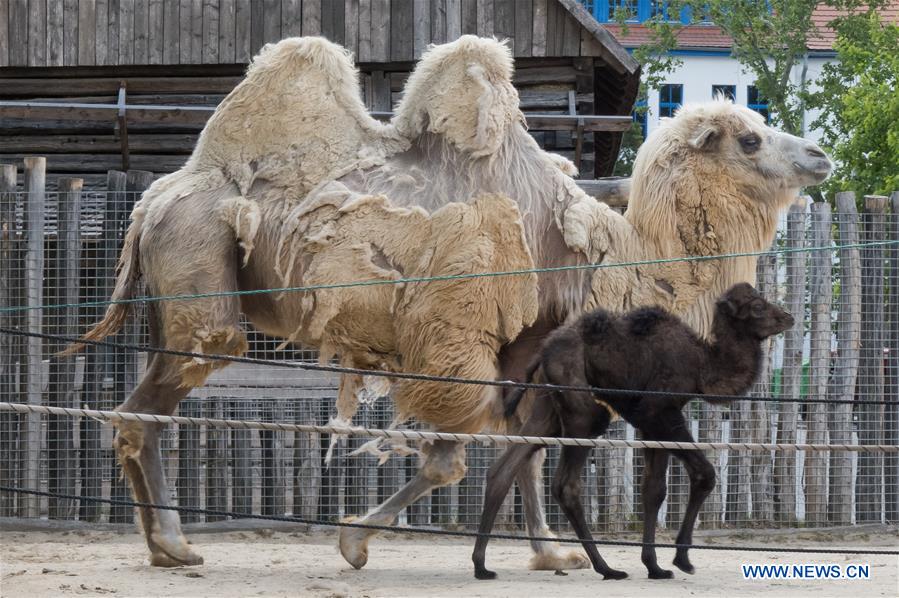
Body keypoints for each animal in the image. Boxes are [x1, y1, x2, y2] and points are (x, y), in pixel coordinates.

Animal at [71, 35, 831, 570]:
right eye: (750, 136)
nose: (820, 156)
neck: (604, 256)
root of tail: (150, 203)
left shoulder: (527, 348)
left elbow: (525, 445)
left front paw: (549, 553)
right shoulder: (456, 339)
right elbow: (449, 457)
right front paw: (354, 541)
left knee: (139, 409)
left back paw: (165, 546)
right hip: (202, 273)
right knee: (154, 400)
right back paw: (174, 544)